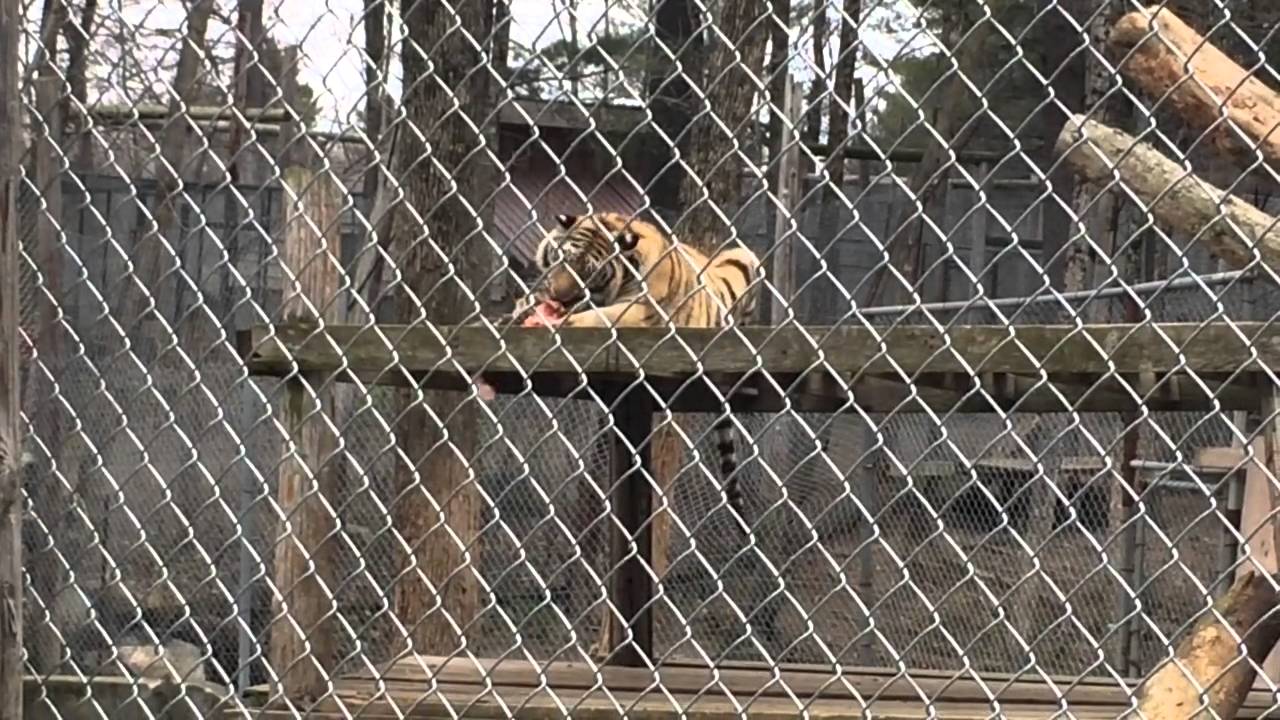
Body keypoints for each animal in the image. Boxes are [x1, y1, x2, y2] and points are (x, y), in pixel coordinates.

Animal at [511, 210, 763, 523]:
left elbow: (597, 317)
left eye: (589, 273)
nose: (559, 296)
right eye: (562, 258)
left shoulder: (642, 312)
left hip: (744, 258)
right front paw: (524, 307)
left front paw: (559, 320)